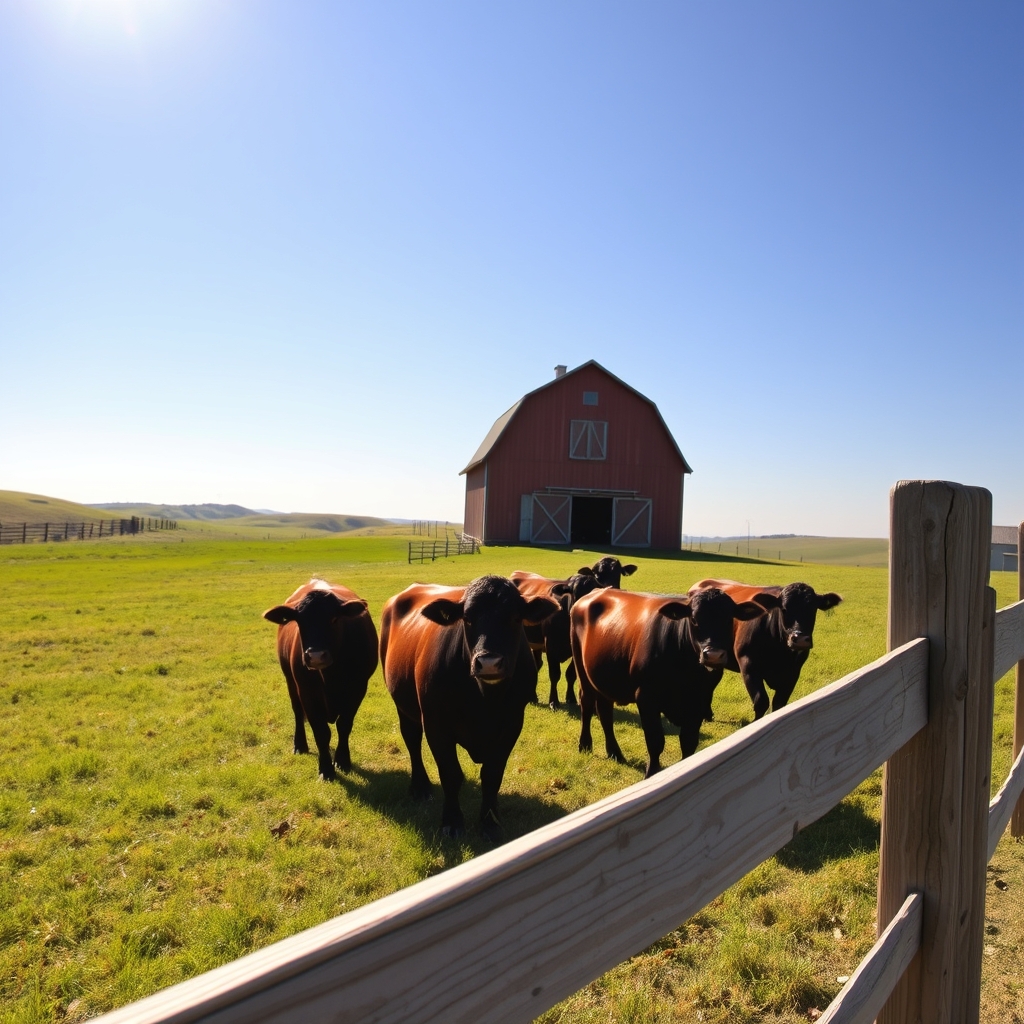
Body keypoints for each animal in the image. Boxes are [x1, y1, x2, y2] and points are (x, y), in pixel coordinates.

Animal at [262, 580, 379, 781]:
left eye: (334, 619)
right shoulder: (307, 693)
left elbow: (344, 726)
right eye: (300, 621)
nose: (316, 656)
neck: (330, 677)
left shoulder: (358, 689)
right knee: (297, 712)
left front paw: (342, 760)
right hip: (290, 681)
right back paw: (300, 744)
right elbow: (321, 732)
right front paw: (326, 769)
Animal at [379, 575, 560, 840]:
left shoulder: (512, 723)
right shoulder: (436, 724)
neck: (484, 700)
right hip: (403, 705)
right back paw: (420, 787)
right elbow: (451, 774)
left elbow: (492, 775)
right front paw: (452, 821)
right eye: (467, 618)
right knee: (412, 740)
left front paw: (490, 823)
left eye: (515, 617)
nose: (489, 663)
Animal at [509, 569, 602, 707]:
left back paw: (533, 696)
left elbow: (571, 674)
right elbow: (554, 675)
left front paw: (571, 698)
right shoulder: (551, 647)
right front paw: (553, 701)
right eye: (574, 592)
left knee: (537, 664)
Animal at [571, 587, 770, 777]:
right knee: (587, 704)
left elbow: (689, 741)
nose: (713, 655)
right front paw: (651, 774)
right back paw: (585, 744)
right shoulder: (646, 698)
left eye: (729, 619)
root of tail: (595, 592)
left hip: (604, 681)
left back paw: (615, 753)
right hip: (582, 669)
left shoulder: (700, 700)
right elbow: (655, 741)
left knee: (605, 712)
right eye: (694, 619)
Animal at [688, 579, 843, 720]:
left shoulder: (793, 673)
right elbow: (761, 702)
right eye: (784, 609)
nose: (800, 639)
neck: (779, 653)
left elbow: (779, 704)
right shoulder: (748, 666)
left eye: (812, 608)